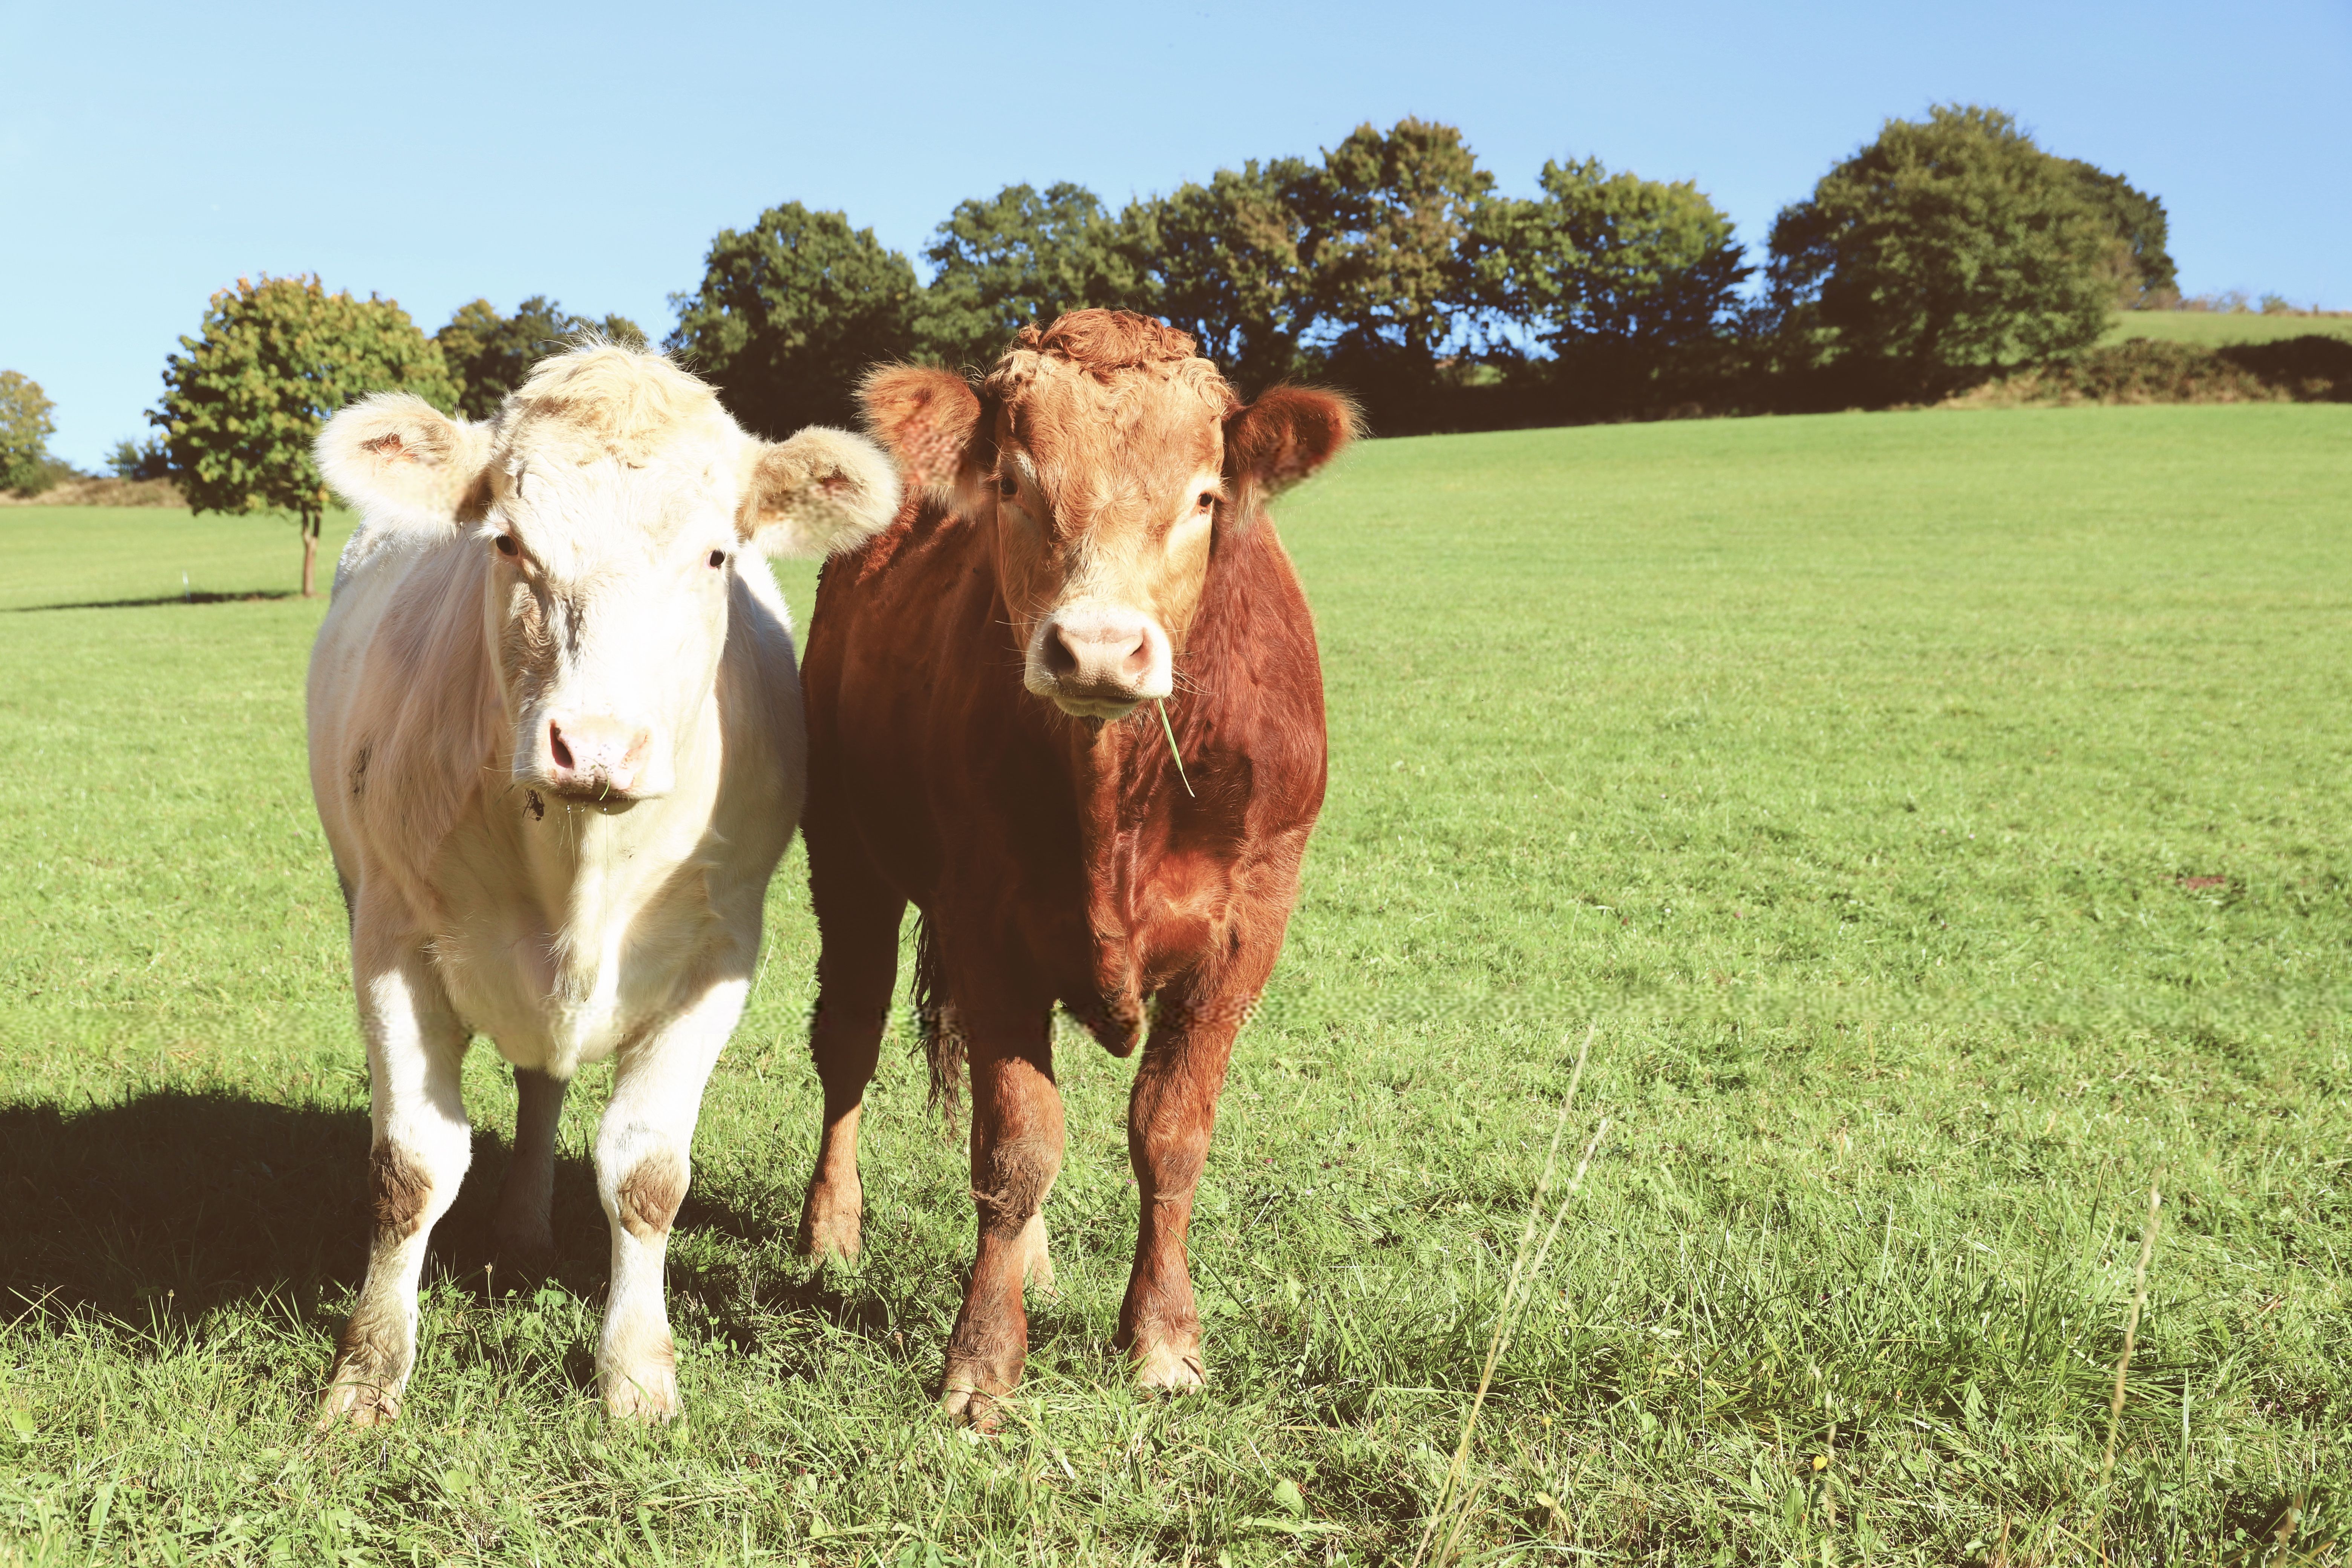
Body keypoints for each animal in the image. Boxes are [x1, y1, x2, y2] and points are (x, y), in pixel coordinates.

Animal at [306, 344, 897, 1424]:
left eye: (715, 558)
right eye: (508, 542)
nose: (596, 747)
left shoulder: (720, 954)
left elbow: (647, 1171)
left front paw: (637, 1374)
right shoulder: (391, 939)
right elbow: (411, 1166)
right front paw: (364, 1377)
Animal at [793, 310, 1356, 1423]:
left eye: (1204, 496)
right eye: (1015, 484)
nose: (1097, 648)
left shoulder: (1245, 934)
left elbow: (1168, 1136)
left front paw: (1164, 1343)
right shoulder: (985, 923)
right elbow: (1015, 1148)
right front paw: (981, 1363)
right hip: (846, 859)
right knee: (849, 1040)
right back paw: (830, 1230)